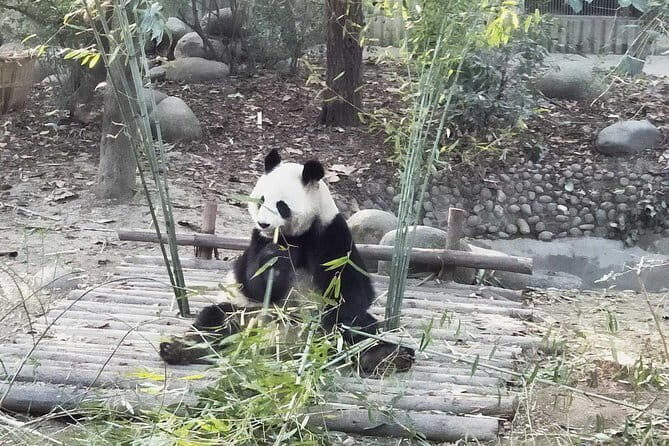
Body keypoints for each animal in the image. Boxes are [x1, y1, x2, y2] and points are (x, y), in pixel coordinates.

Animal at [160, 149, 414, 375]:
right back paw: (177, 349)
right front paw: (274, 259)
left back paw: (386, 356)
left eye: (281, 205)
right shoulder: (257, 242)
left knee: (362, 331)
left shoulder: (331, 234)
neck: (293, 236)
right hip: (246, 314)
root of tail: (286, 344)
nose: (263, 224)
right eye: (261, 200)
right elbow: (255, 282)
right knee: (215, 321)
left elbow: (353, 290)